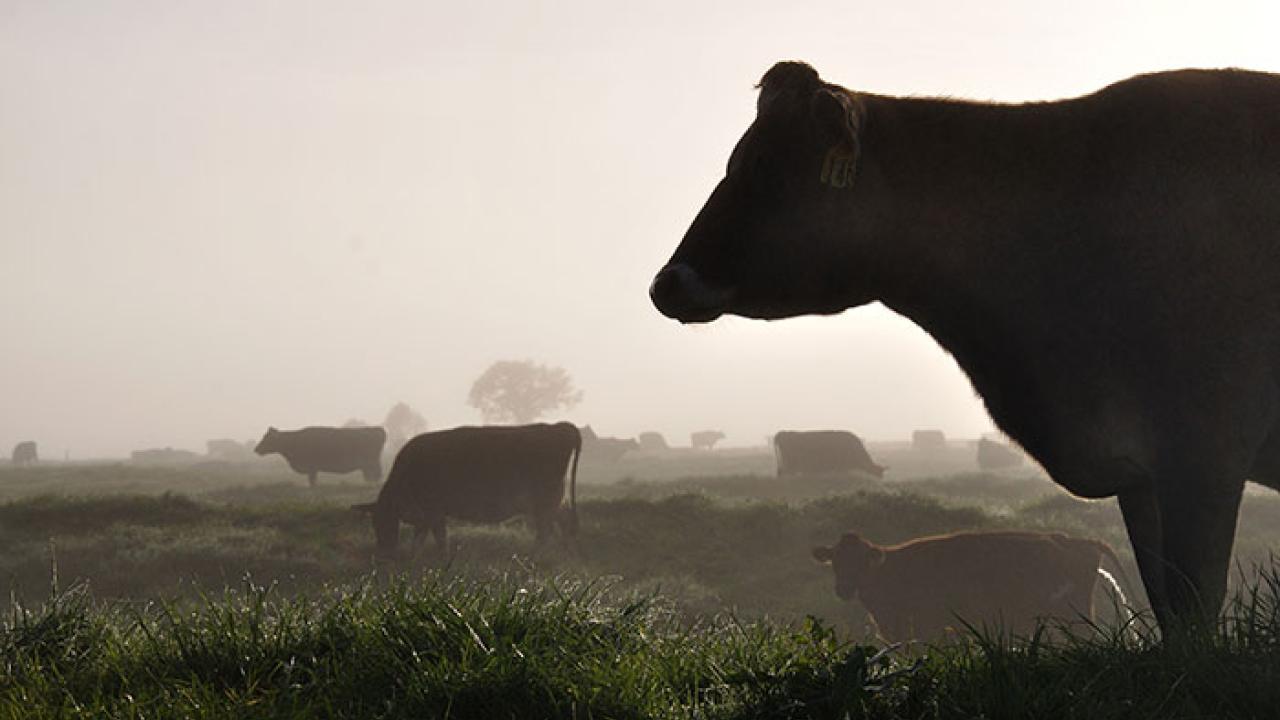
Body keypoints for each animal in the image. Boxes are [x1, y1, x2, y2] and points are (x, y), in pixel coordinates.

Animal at [254, 426, 385, 487]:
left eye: (267, 437)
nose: (256, 449)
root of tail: (377, 429)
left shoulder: (312, 468)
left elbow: (312, 481)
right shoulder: (313, 469)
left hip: (371, 463)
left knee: (375, 475)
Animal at [351, 422, 581, 558]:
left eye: (385, 521)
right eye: (374, 522)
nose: (384, 549)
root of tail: (558, 427)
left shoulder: (432, 509)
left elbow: (433, 536)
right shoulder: (432, 512)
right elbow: (432, 535)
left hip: (545, 499)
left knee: (546, 530)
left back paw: (537, 554)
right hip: (554, 499)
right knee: (562, 521)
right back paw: (564, 551)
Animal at [813, 530, 1131, 644]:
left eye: (862, 563)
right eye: (835, 562)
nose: (844, 588)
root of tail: (1076, 540)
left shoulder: (927, 630)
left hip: (1073, 617)